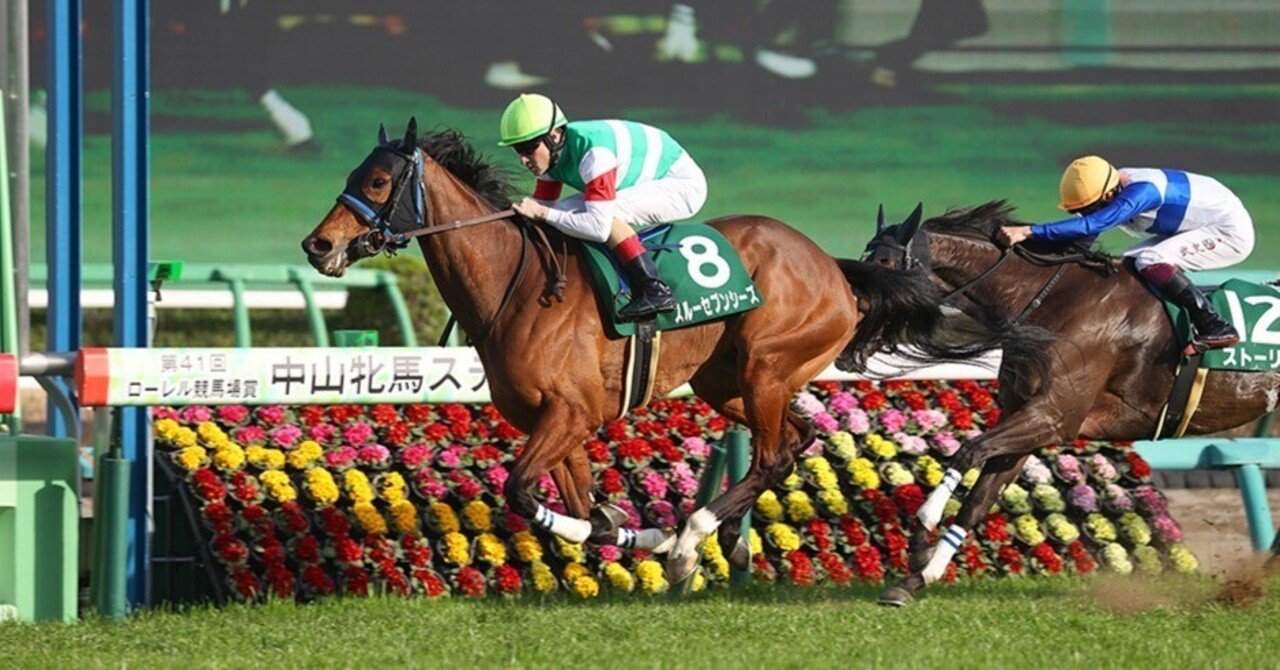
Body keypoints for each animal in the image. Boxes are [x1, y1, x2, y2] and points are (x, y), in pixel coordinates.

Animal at [301, 118, 999, 583]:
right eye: (351, 176)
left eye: (380, 179)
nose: (317, 245)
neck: (516, 287)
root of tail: (832, 265)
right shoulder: (558, 423)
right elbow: (580, 504)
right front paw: (633, 528)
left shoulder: (570, 413)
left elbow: (526, 493)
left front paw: (657, 536)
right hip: (729, 381)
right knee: (793, 442)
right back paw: (715, 539)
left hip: (767, 367)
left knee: (774, 455)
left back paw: (694, 538)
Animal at [861, 200, 1280, 605]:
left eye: (886, 265)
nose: (857, 333)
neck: (1056, 301)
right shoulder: (1026, 415)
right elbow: (980, 498)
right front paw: (916, 577)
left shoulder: (1054, 416)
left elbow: (968, 452)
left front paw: (923, 535)